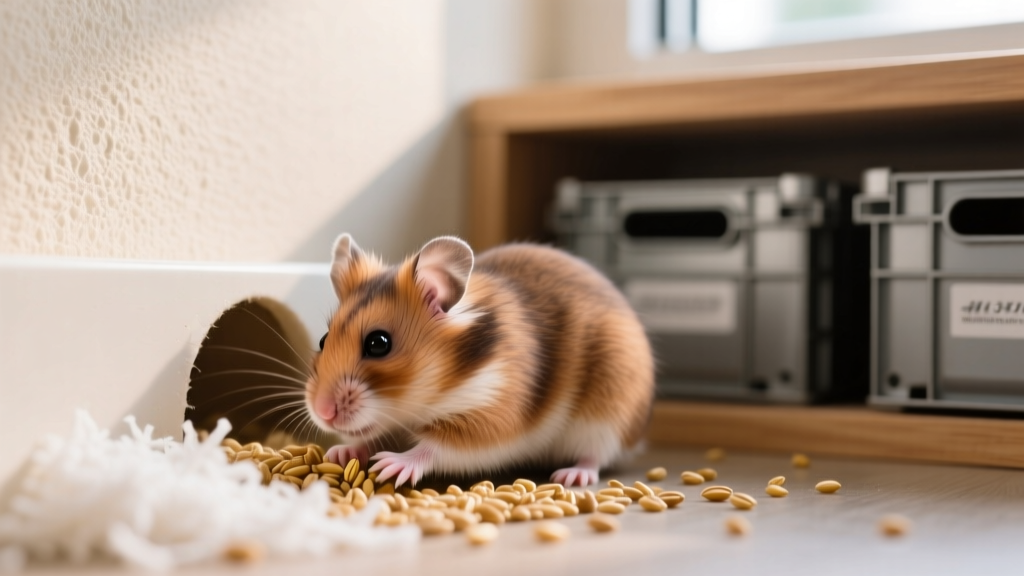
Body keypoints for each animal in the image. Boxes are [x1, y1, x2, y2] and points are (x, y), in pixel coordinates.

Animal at [305, 233, 654, 487]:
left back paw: (571, 476)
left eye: (379, 344)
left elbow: (437, 447)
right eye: (323, 340)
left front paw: (392, 465)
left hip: (609, 414)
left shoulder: (494, 413)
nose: (322, 413)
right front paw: (339, 454)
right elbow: (370, 437)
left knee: (596, 455)